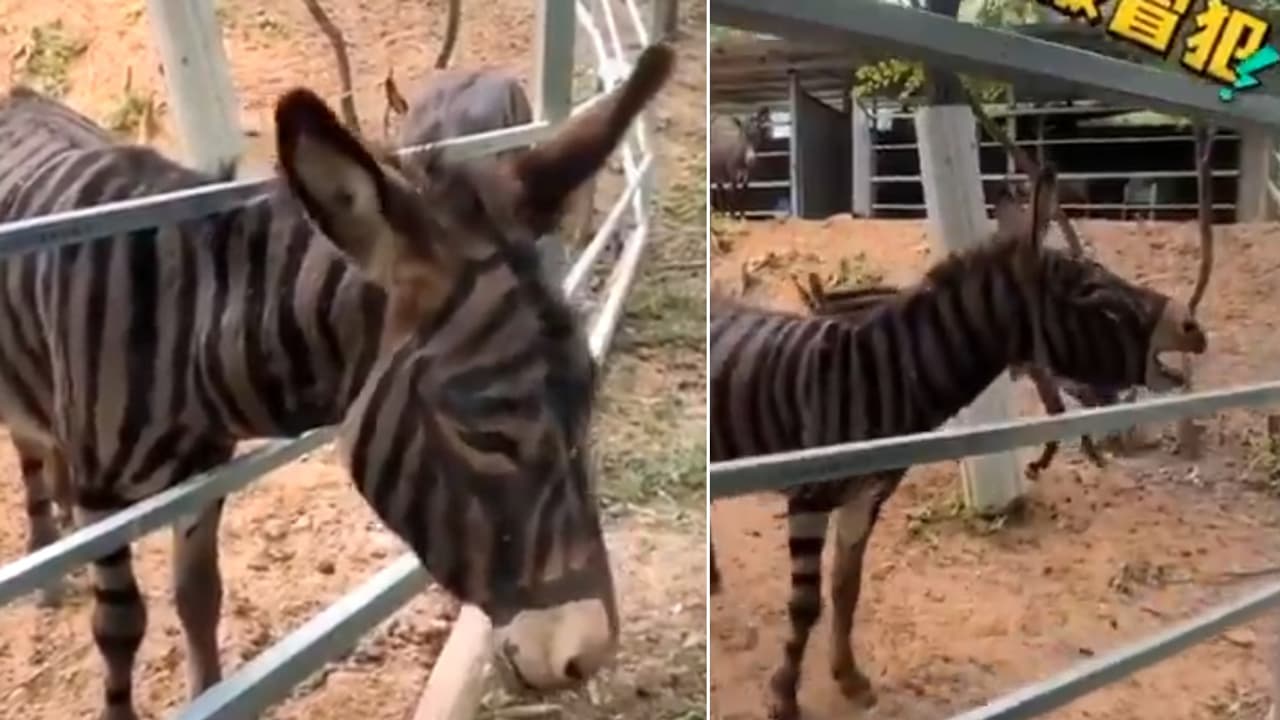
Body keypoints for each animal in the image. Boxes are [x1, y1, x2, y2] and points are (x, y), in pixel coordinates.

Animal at [0, 41, 674, 720]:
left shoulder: (202, 481)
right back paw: (47, 551)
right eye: (480, 433)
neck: (184, 337)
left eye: (588, 395)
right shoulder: (106, 505)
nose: (586, 656)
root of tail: (21, 98)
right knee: (30, 447)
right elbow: (120, 629)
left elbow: (198, 599)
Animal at [708, 166, 1208, 720]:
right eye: (1092, 294)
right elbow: (805, 604)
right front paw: (783, 697)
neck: (878, 375)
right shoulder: (810, 497)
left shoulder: (867, 496)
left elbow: (846, 588)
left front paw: (848, 677)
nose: (1192, 326)